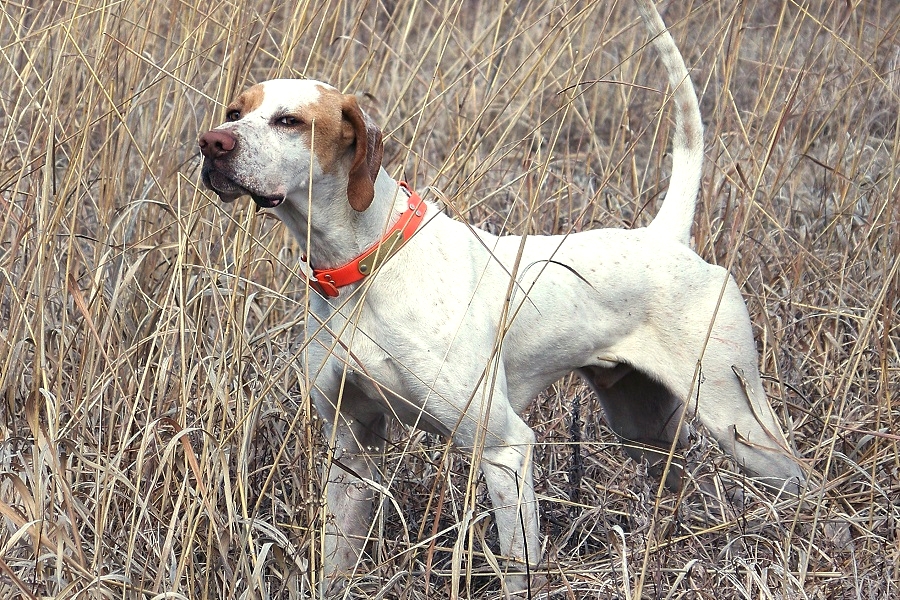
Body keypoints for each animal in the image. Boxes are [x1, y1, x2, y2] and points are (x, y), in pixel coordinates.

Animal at [200, 0, 804, 592]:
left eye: (289, 121)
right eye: (234, 111)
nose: (212, 143)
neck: (363, 267)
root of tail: (665, 238)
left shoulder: (504, 447)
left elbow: (518, 564)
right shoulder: (352, 448)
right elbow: (335, 559)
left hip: (741, 425)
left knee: (800, 483)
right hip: (647, 431)